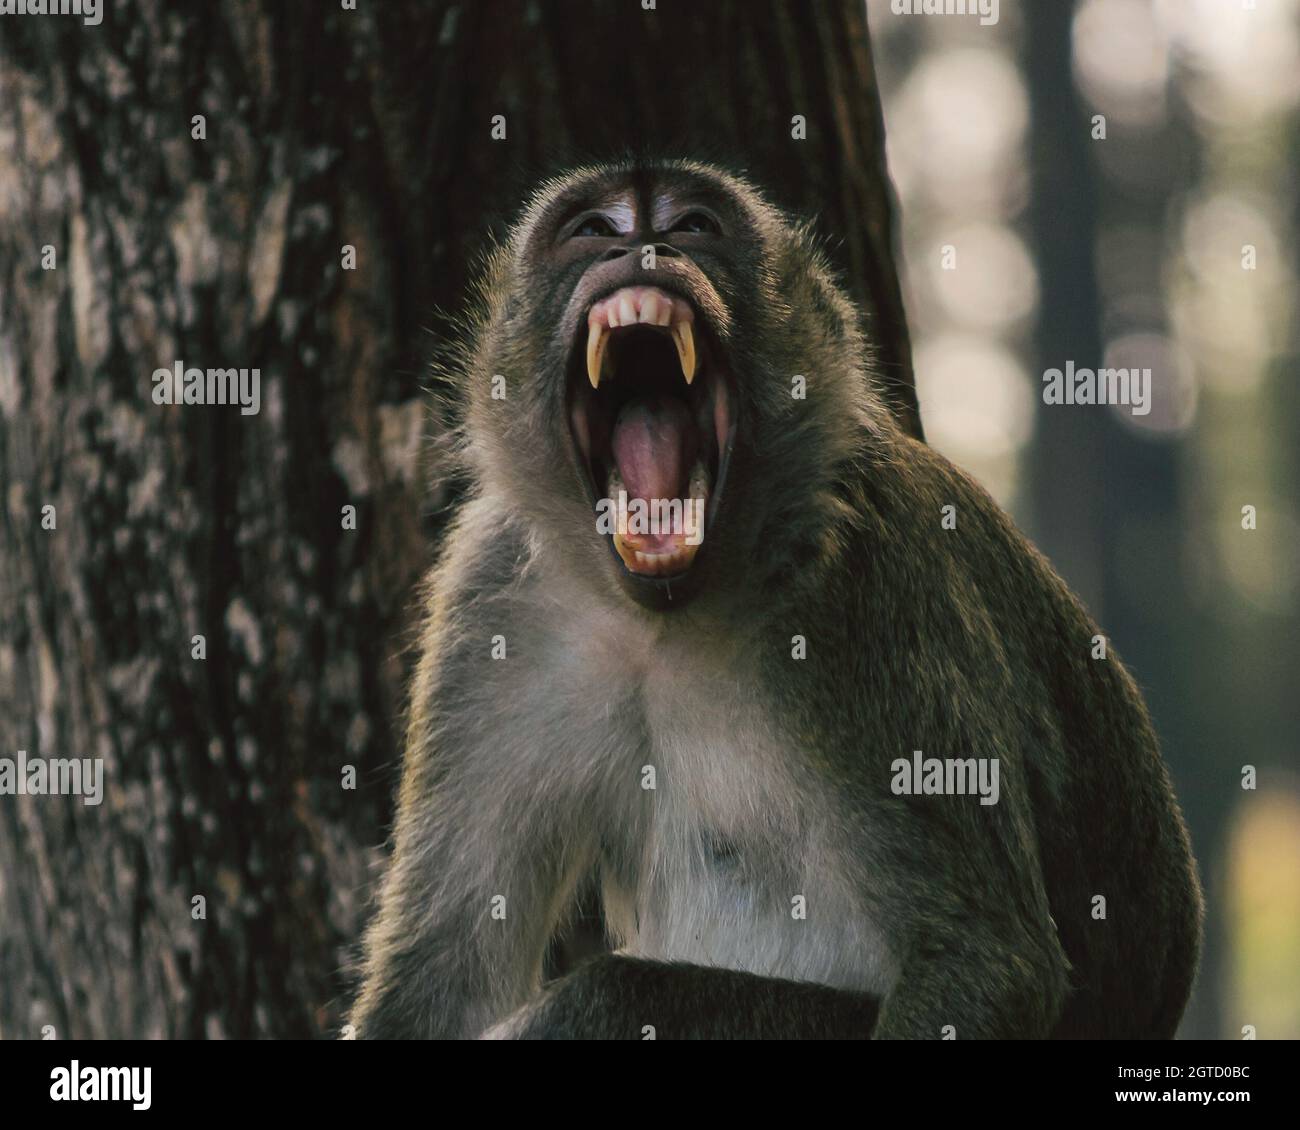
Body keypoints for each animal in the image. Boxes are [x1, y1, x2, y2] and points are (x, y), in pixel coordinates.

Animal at [348, 158, 1203, 1040]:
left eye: (693, 225)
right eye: (591, 230)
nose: (641, 245)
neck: (662, 618)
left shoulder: (873, 586)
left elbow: (985, 958)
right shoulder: (488, 596)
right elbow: (437, 980)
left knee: (612, 998)